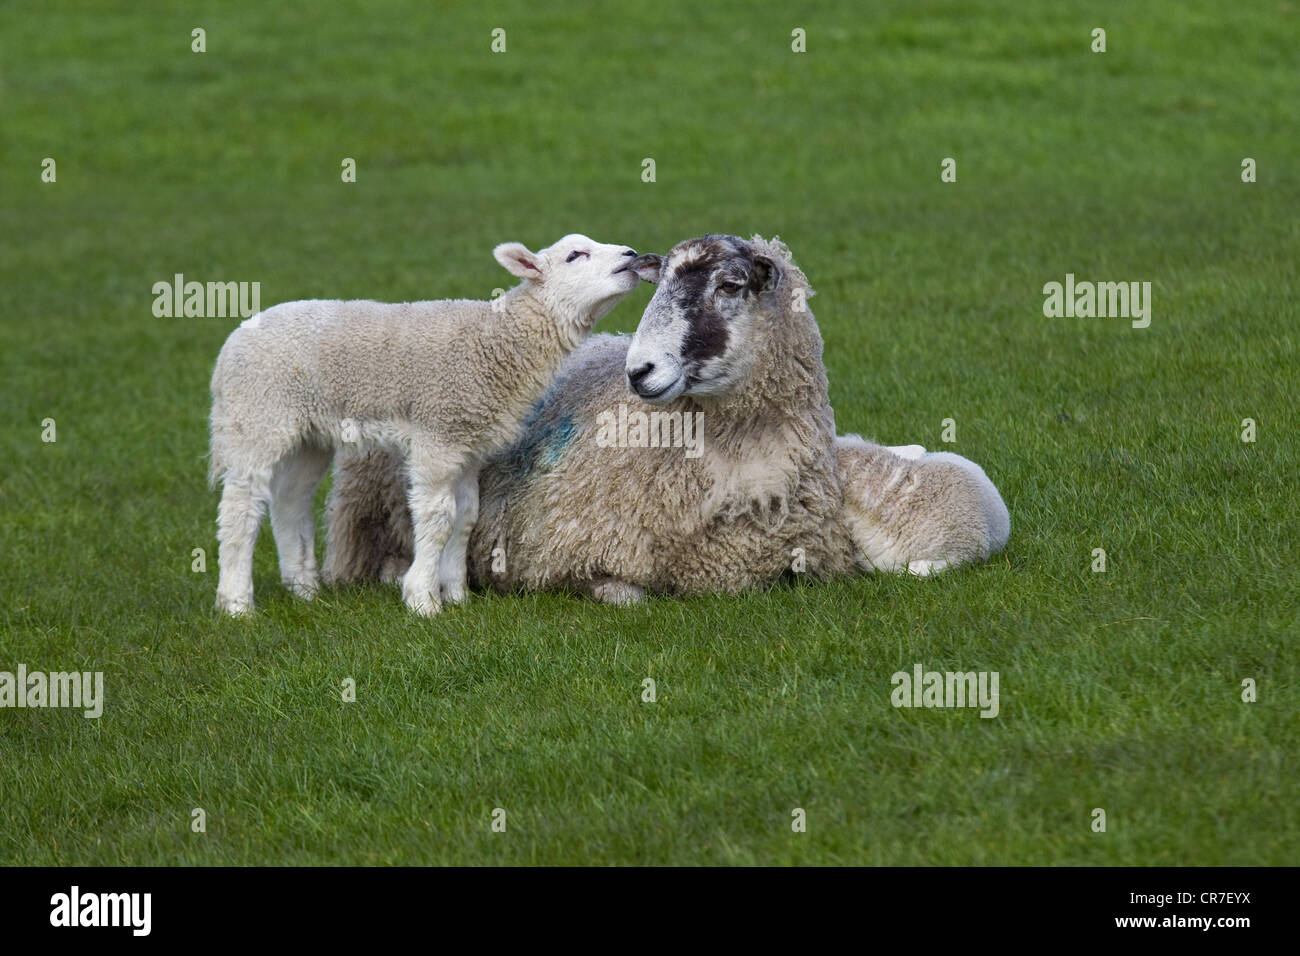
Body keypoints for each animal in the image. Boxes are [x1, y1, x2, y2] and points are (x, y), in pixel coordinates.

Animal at [208, 234, 641, 617]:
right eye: (575, 255)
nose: (633, 255)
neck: (499, 342)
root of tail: (230, 345)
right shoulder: (438, 434)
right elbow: (438, 519)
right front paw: (423, 599)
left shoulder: (468, 442)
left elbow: (466, 518)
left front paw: (457, 596)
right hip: (258, 417)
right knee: (241, 508)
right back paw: (236, 603)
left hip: (307, 434)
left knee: (289, 501)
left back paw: (303, 589)